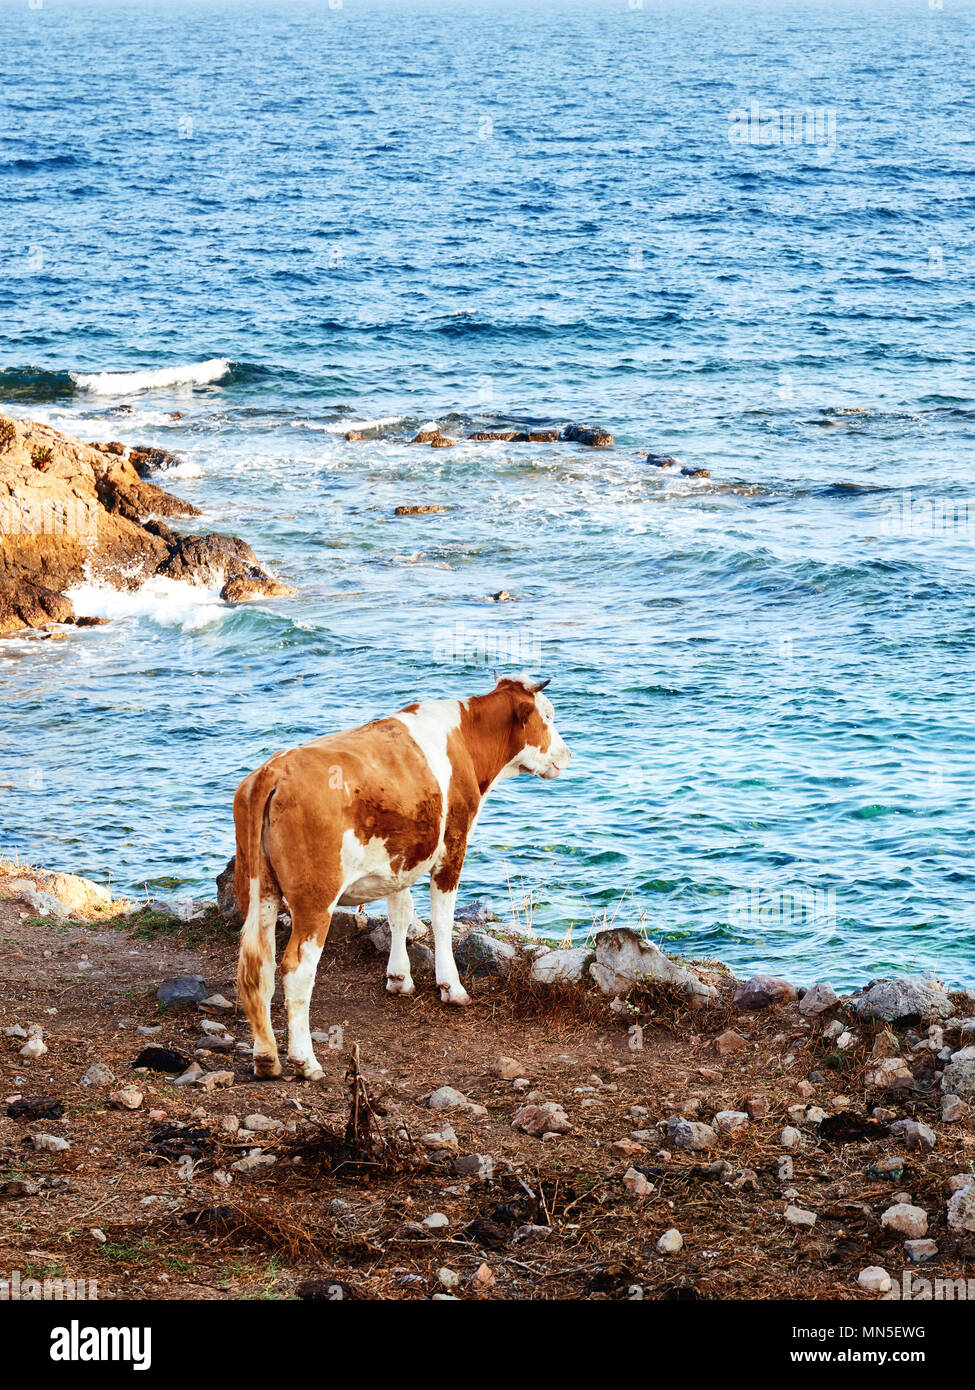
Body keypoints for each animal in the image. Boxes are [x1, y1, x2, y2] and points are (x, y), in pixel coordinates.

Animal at [233, 675, 570, 1080]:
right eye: (548, 715)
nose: (567, 754)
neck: (465, 738)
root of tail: (275, 769)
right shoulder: (452, 845)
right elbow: (442, 919)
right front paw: (451, 987)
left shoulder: (400, 856)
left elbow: (400, 913)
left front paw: (398, 978)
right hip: (315, 898)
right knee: (296, 970)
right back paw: (305, 1061)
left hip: (257, 889)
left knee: (257, 967)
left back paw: (266, 1058)